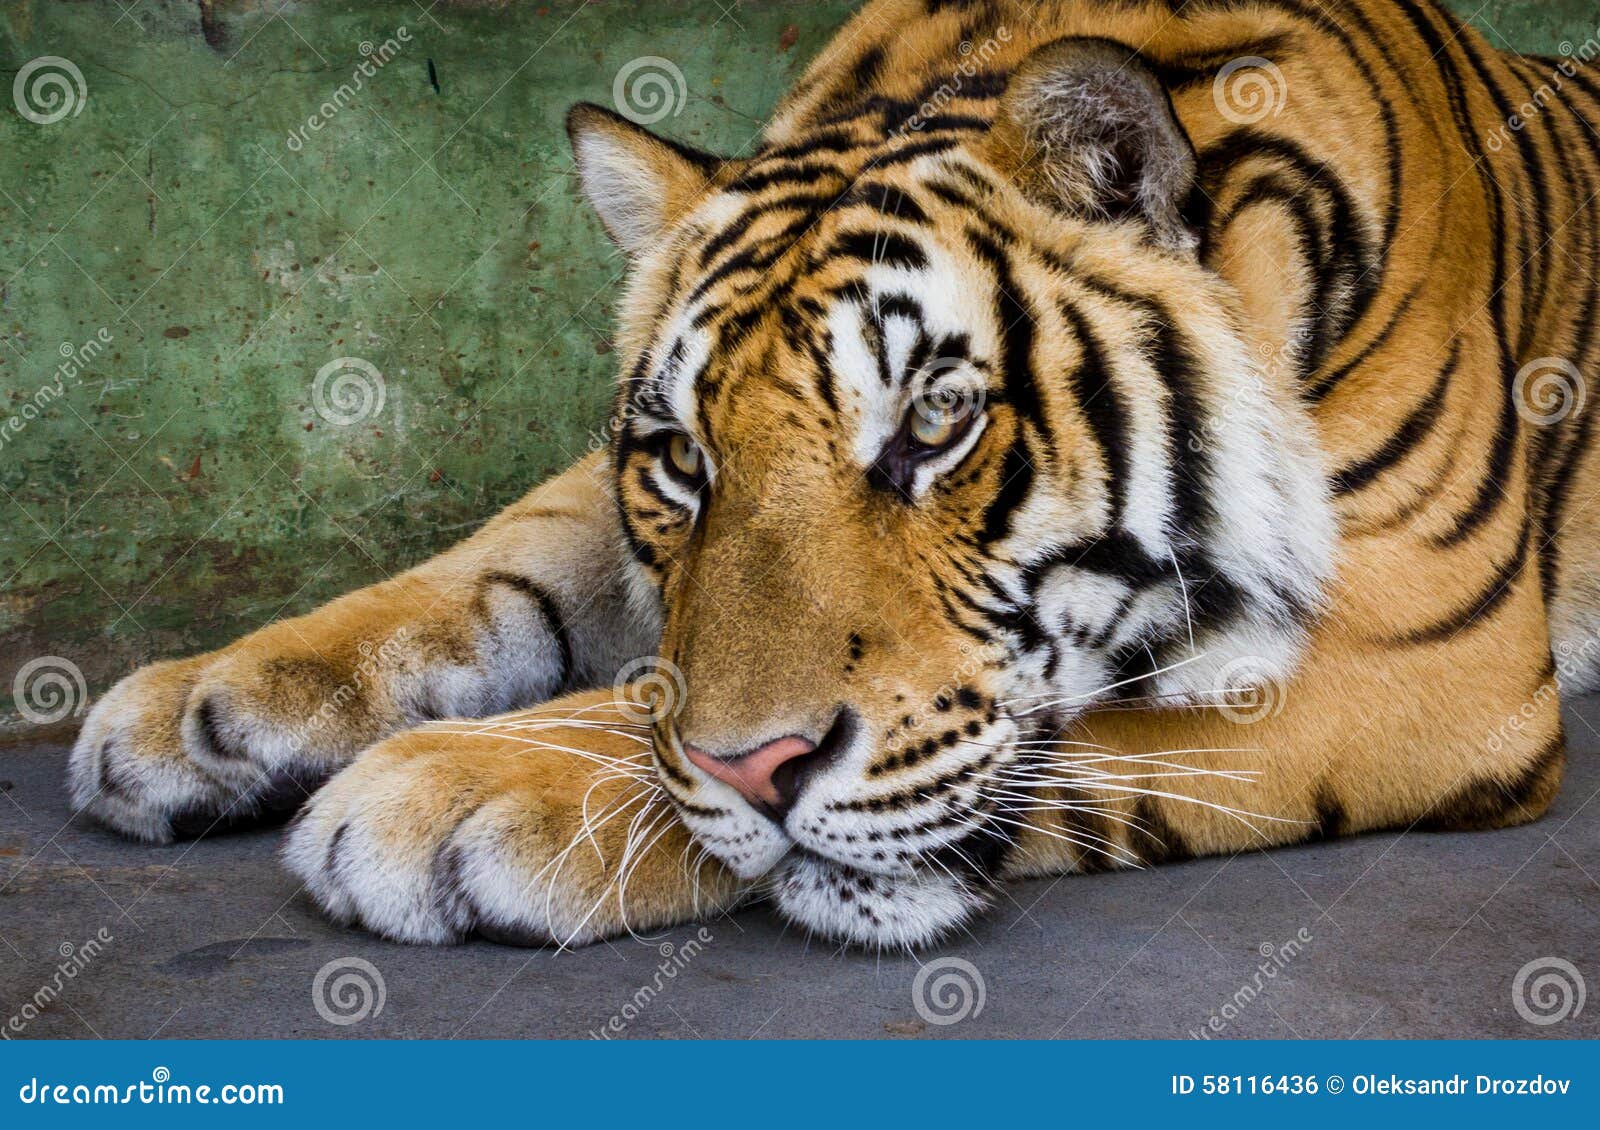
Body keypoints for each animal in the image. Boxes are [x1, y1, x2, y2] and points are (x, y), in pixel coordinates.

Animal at [66, 0, 1599, 949]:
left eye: (934, 423)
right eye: (683, 458)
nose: (757, 773)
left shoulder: (1423, 655)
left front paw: (445, 794)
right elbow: (507, 559)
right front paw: (210, 707)